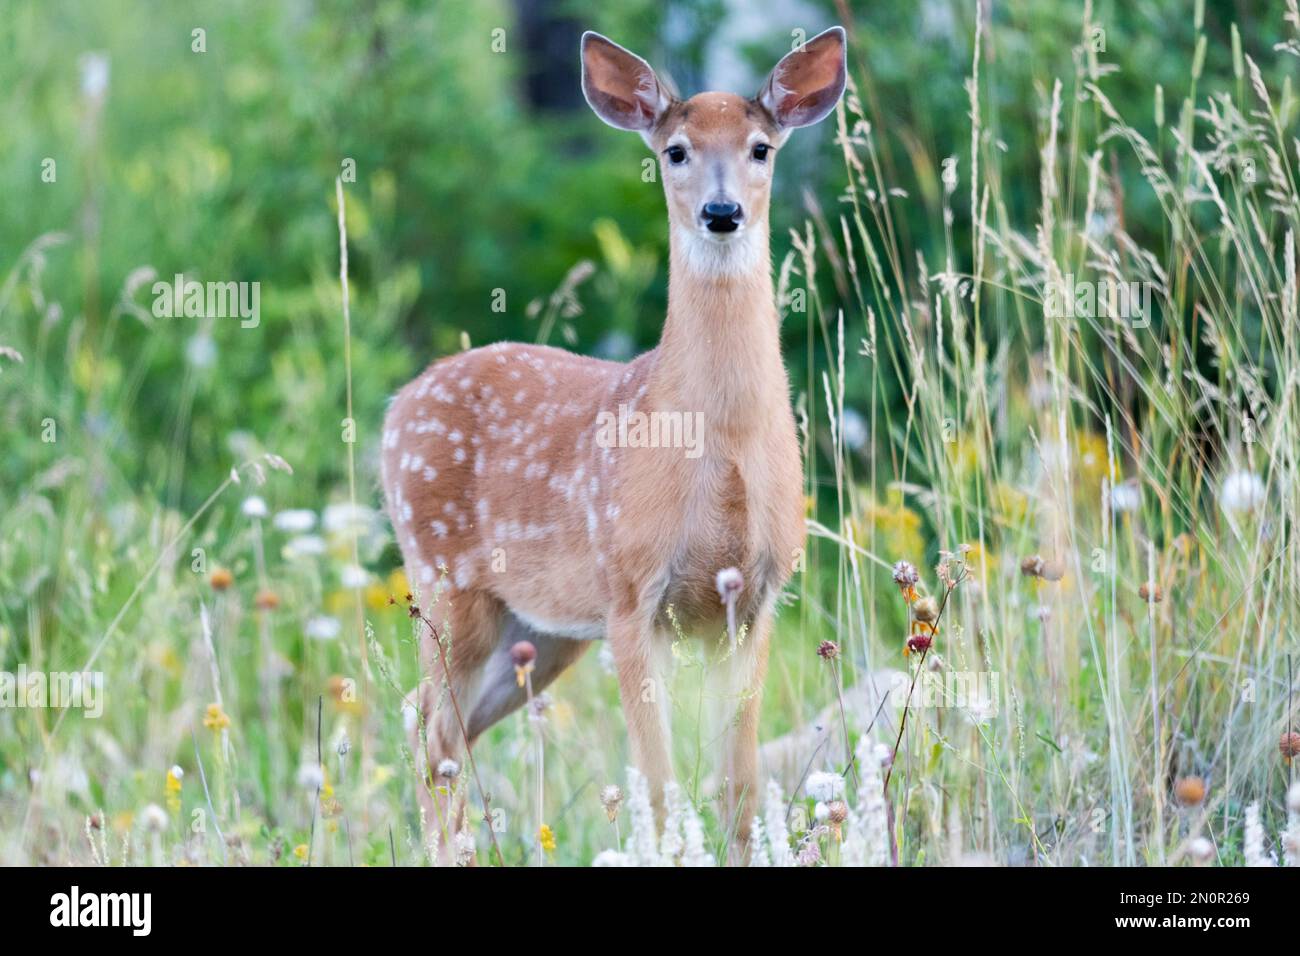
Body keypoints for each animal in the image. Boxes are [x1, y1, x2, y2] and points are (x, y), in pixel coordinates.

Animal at [381, 26, 846, 862]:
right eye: (676, 151)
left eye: (761, 148)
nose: (722, 211)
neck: (718, 441)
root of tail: (398, 405)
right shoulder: (633, 592)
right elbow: (657, 791)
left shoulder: (757, 599)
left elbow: (737, 787)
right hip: (445, 580)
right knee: (432, 731)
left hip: (540, 629)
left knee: (439, 724)